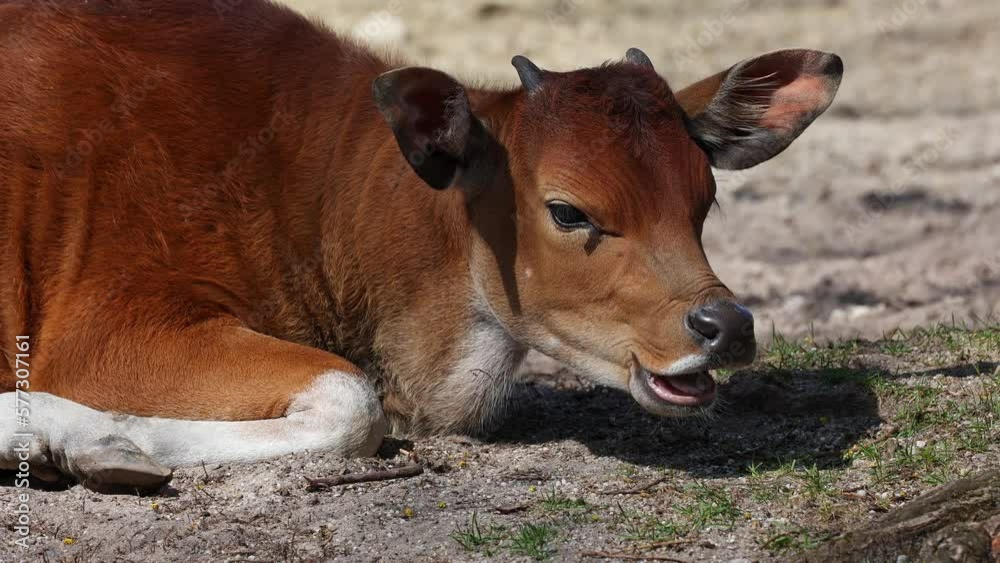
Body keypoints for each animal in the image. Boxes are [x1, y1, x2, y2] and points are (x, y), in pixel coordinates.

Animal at [0, 0, 842, 491]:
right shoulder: (105, 330)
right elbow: (351, 402)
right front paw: (71, 435)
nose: (726, 327)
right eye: (568, 210)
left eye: (704, 198)